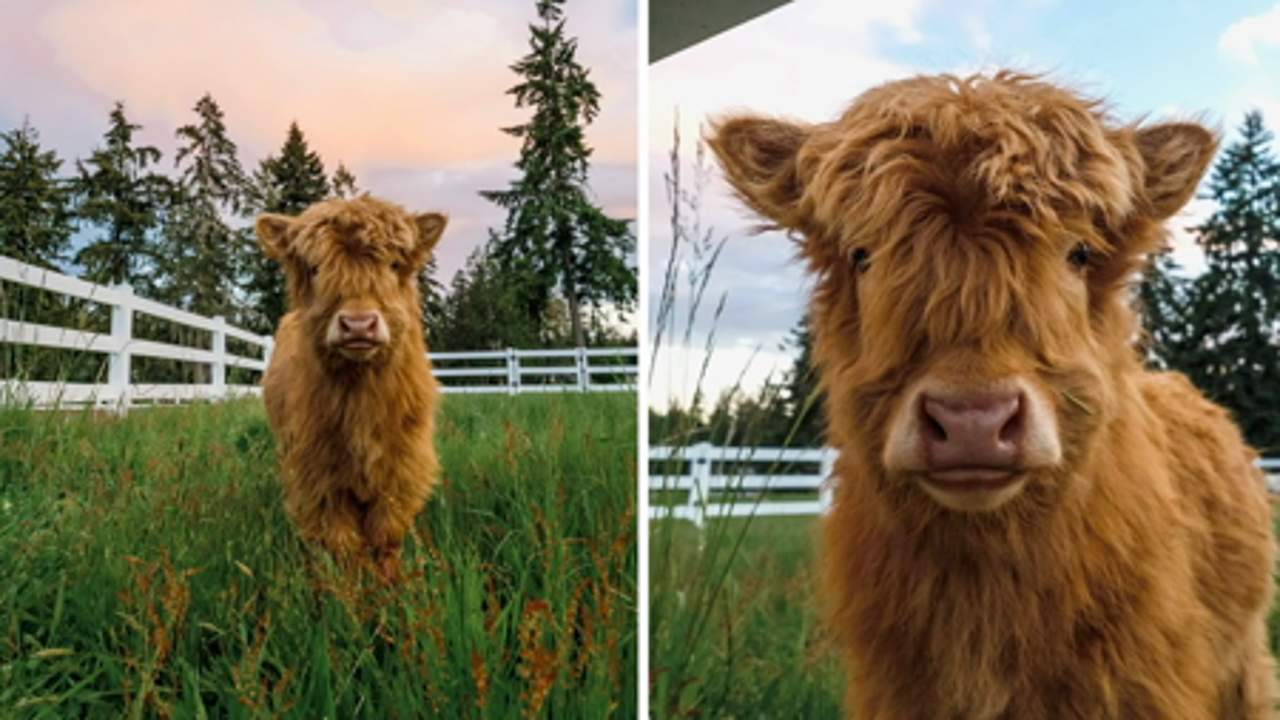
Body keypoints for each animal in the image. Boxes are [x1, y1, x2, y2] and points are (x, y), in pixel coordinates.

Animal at [256, 195, 445, 575]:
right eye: (315, 268)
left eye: (394, 264)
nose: (358, 324)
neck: (361, 397)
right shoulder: (318, 474)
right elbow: (342, 543)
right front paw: (347, 585)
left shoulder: (401, 468)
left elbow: (386, 536)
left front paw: (393, 581)